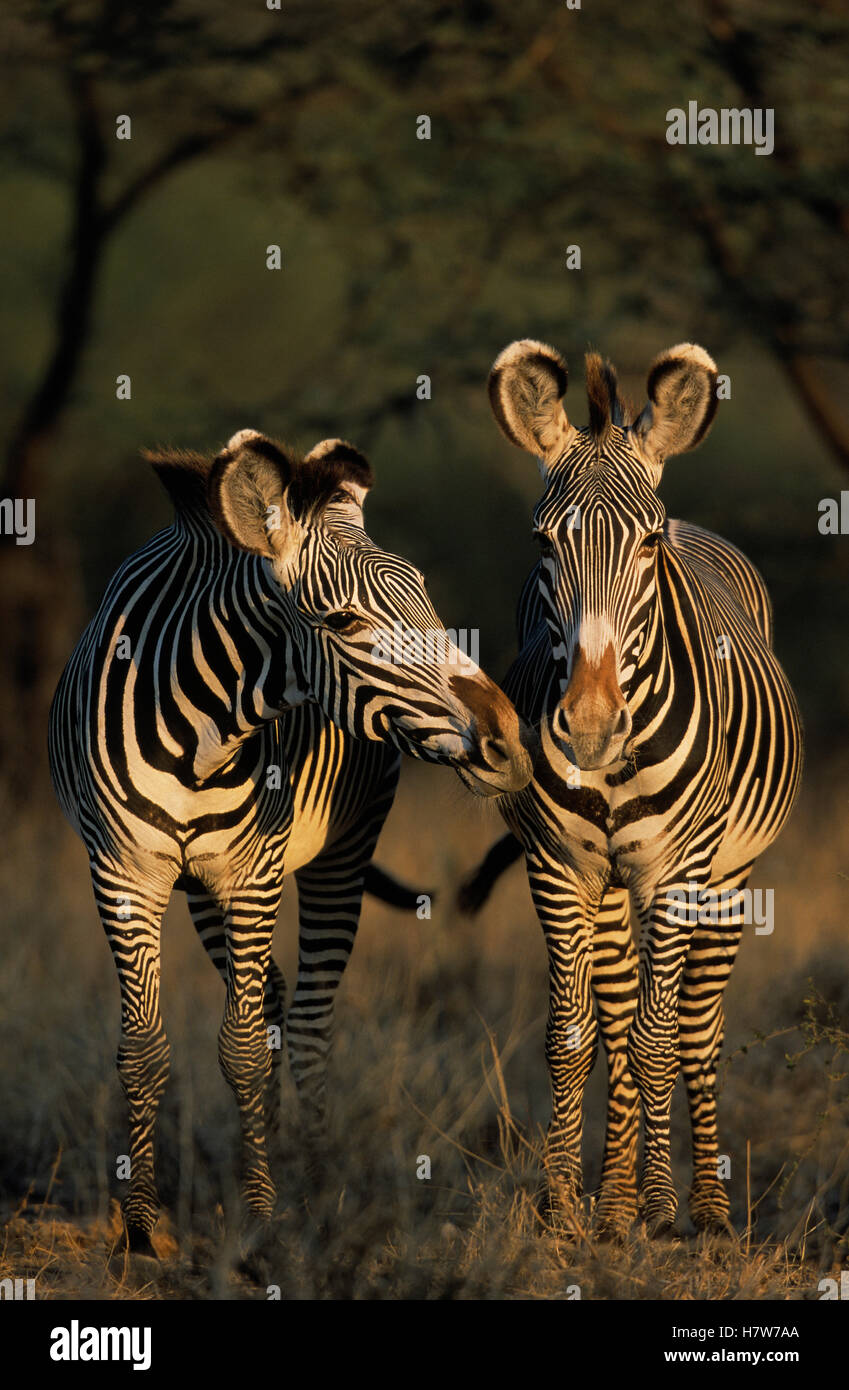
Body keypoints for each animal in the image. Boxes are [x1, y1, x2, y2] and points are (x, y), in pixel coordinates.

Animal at [49, 428, 535, 1255]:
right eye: (341, 623)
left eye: (424, 594)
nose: (509, 743)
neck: (197, 733)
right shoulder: (123, 872)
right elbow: (142, 1049)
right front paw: (140, 1234)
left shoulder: (252, 872)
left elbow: (242, 1048)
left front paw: (265, 1221)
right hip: (202, 888)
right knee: (275, 1002)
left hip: (336, 856)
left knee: (305, 1023)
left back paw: (312, 1194)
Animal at [460, 338, 803, 1235]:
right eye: (542, 542)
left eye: (645, 546)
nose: (586, 724)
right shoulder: (556, 869)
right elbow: (574, 1036)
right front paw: (564, 1208)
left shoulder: (676, 873)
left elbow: (657, 1039)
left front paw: (660, 1207)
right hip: (610, 885)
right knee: (616, 1022)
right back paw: (611, 1199)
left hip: (726, 879)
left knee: (694, 1030)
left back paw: (703, 1209)